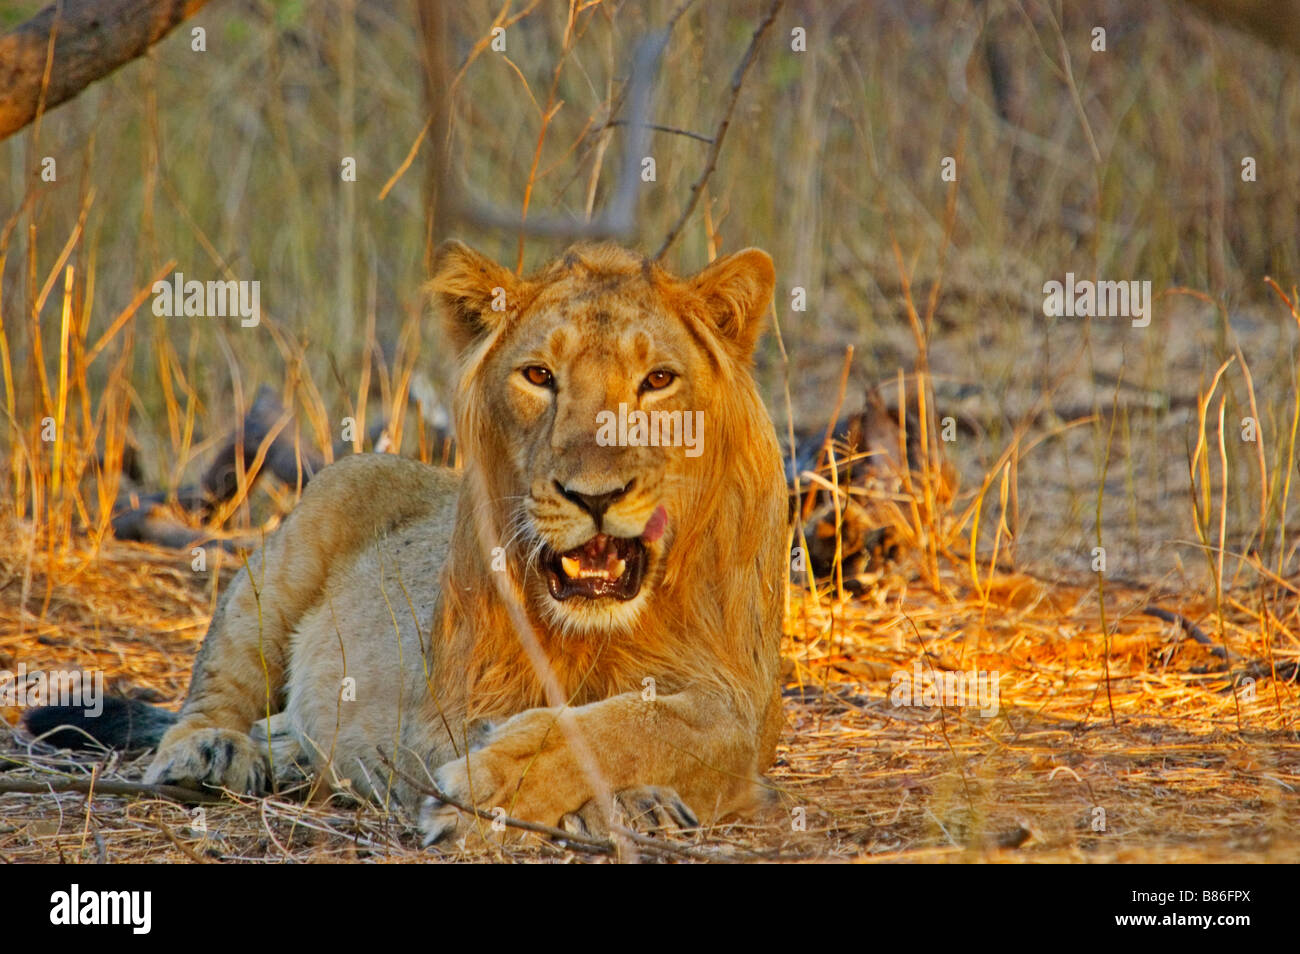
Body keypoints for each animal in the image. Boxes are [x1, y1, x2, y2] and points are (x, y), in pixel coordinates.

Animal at [25, 240, 789, 845]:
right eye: (539, 375)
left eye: (658, 380)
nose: (593, 496)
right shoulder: (447, 708)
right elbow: (583, 725)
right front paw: (505, 794)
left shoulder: (743, 702)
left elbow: (652, 725)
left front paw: (637, 803)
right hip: (295, 547)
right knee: (209, 694)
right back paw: (212, 752)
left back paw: (294, 755)